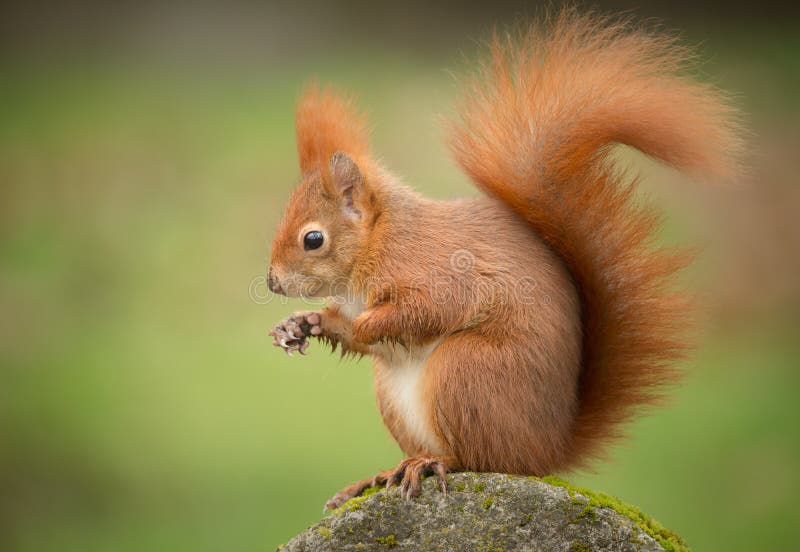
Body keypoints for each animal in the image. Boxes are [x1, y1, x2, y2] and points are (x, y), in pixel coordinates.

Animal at [267, 9, 742, 511]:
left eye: (313, 239)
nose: (272, 282)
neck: (376, 245)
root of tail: (547, 451)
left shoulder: (435, 269)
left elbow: (428, 309)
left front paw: (363, 324)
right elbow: (342, 328)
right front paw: (302, 324)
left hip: (467, 371)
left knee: (479, 456)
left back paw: (432, 463)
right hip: (397, 393)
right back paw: (381, 474)